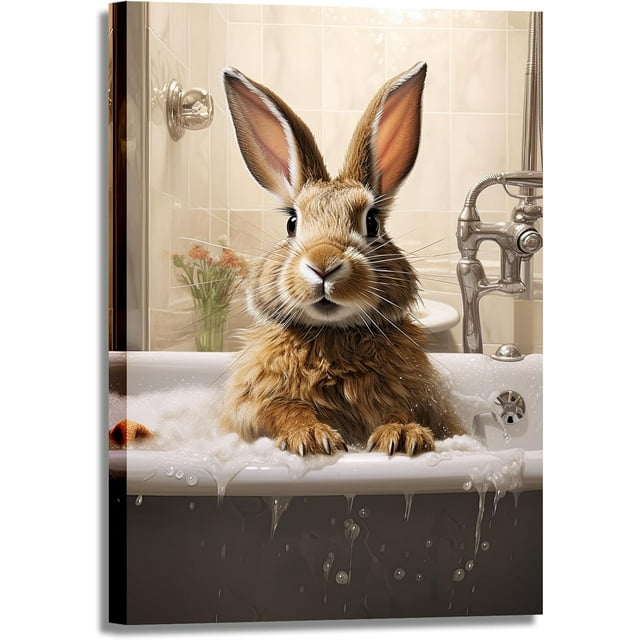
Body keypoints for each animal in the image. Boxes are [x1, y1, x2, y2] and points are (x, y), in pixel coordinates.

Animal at [219, 62, 465, 456]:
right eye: (291, 222)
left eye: (372, 222)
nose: (323, 264)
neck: (332, 336)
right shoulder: (256, 404)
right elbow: (285, 411)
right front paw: (311, 437)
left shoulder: (415, 396)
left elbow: (398, 410)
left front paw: (402, 436)